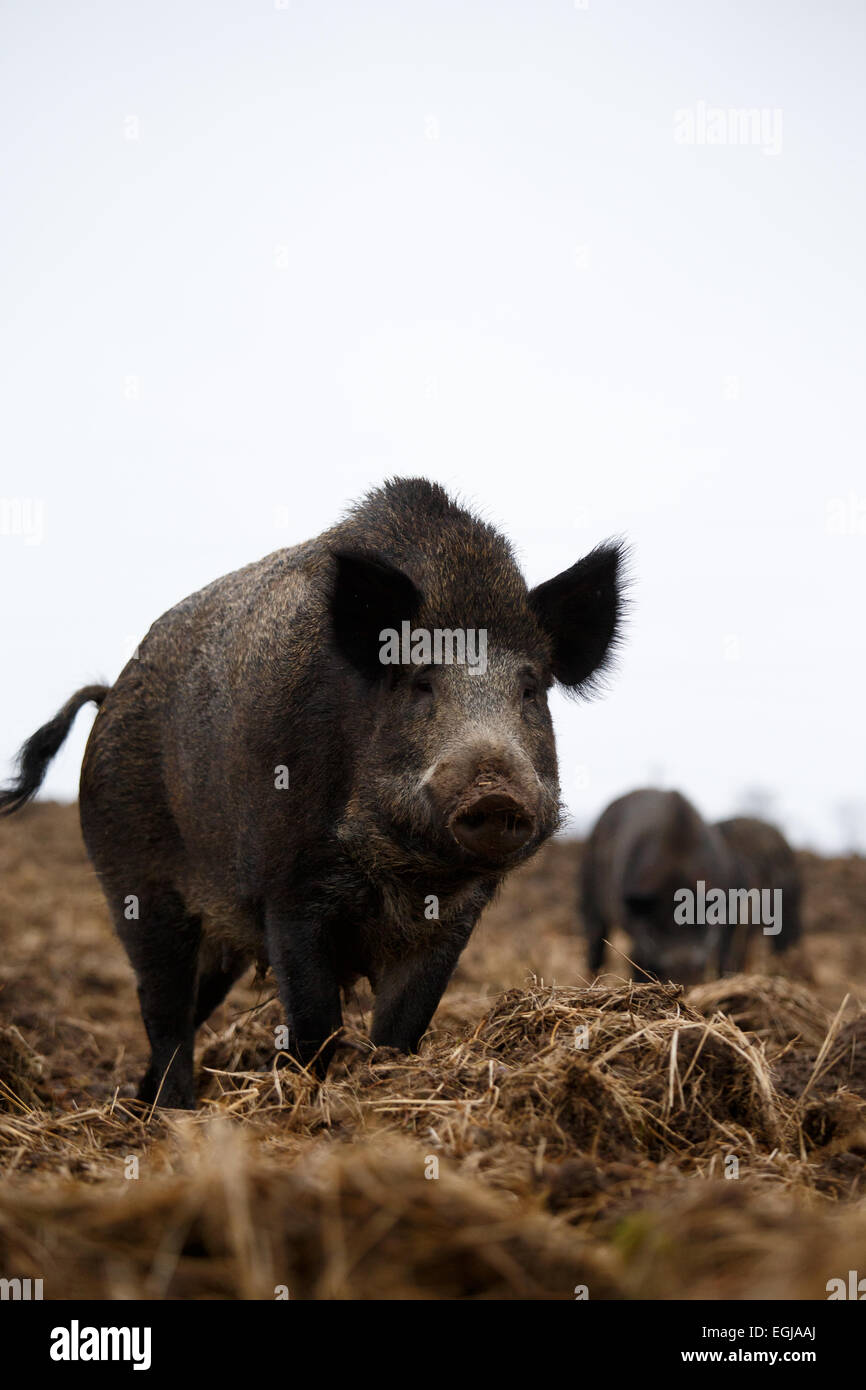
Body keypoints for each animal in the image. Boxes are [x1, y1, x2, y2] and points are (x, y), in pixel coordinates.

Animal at [0, 478, 625, 1107]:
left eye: (530, 688)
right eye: (422, 682)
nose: (495, 794)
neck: (403, 875)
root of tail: (108, 695)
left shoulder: (453, 920)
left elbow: (402, 1027)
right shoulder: (288, 889)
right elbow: (316, 1024)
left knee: (188, 1006)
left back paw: (143, 1102)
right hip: (133, 878)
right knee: (164, 1008)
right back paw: (174, 1112)